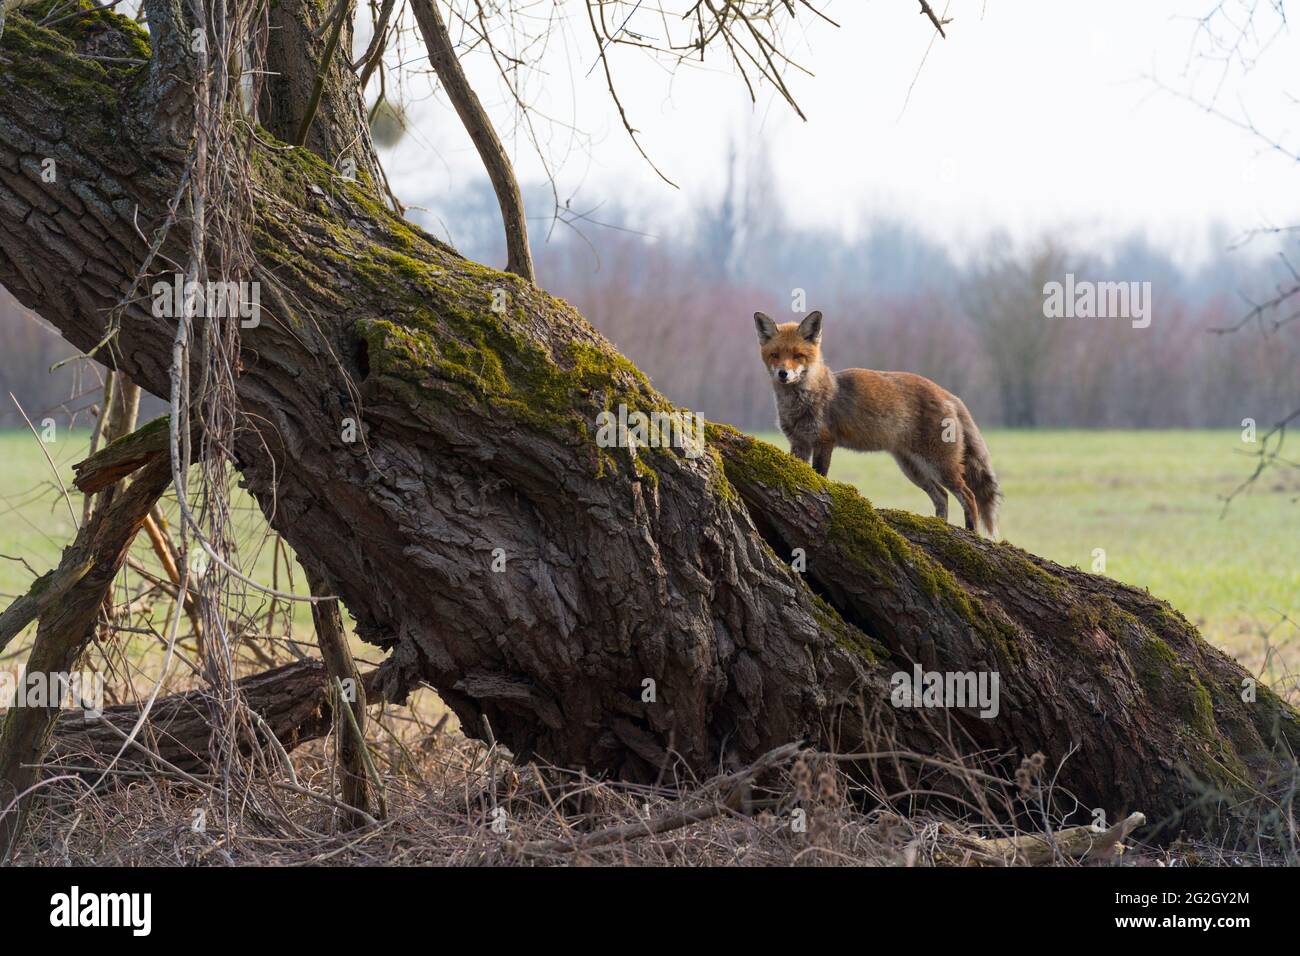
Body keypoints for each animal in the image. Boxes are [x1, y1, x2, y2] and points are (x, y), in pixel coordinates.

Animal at [754, 310, 1001, 537]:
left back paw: (971, 533)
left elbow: (820, 476)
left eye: (798, 355)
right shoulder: (799, 443)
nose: (783, 373)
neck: (801, 400)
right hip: (913, 468)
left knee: (968, 496)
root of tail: (948, 394)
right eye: (775, 354)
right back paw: (939, 527)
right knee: (942, 496)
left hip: (940, 465)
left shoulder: (824, 441)